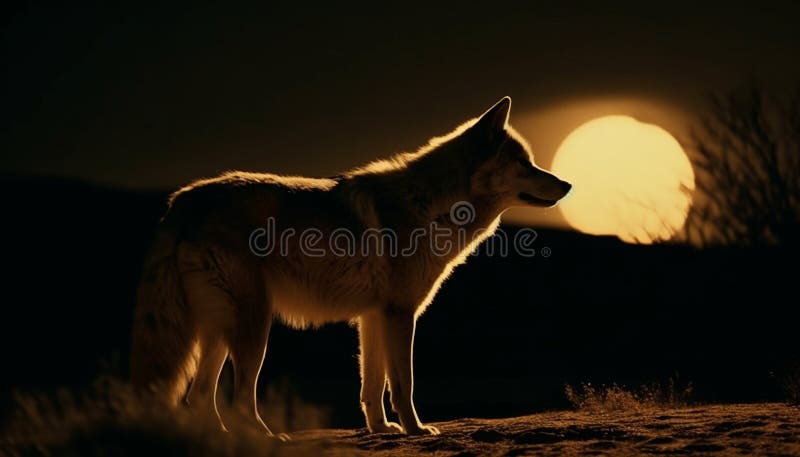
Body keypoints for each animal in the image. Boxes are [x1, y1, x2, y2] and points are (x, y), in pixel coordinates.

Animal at [130, 96, 571, 436]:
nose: (568, 184)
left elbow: (372, 387)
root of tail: (182, 199)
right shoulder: (400, 314)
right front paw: (415, 429)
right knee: (238, 398)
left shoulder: (373, 317)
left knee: (198, 396)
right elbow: (404, 384)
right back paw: (265, 436)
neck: (433, 205)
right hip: (253, 326)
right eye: (525, 163)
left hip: (223, 329)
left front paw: (381, 430)